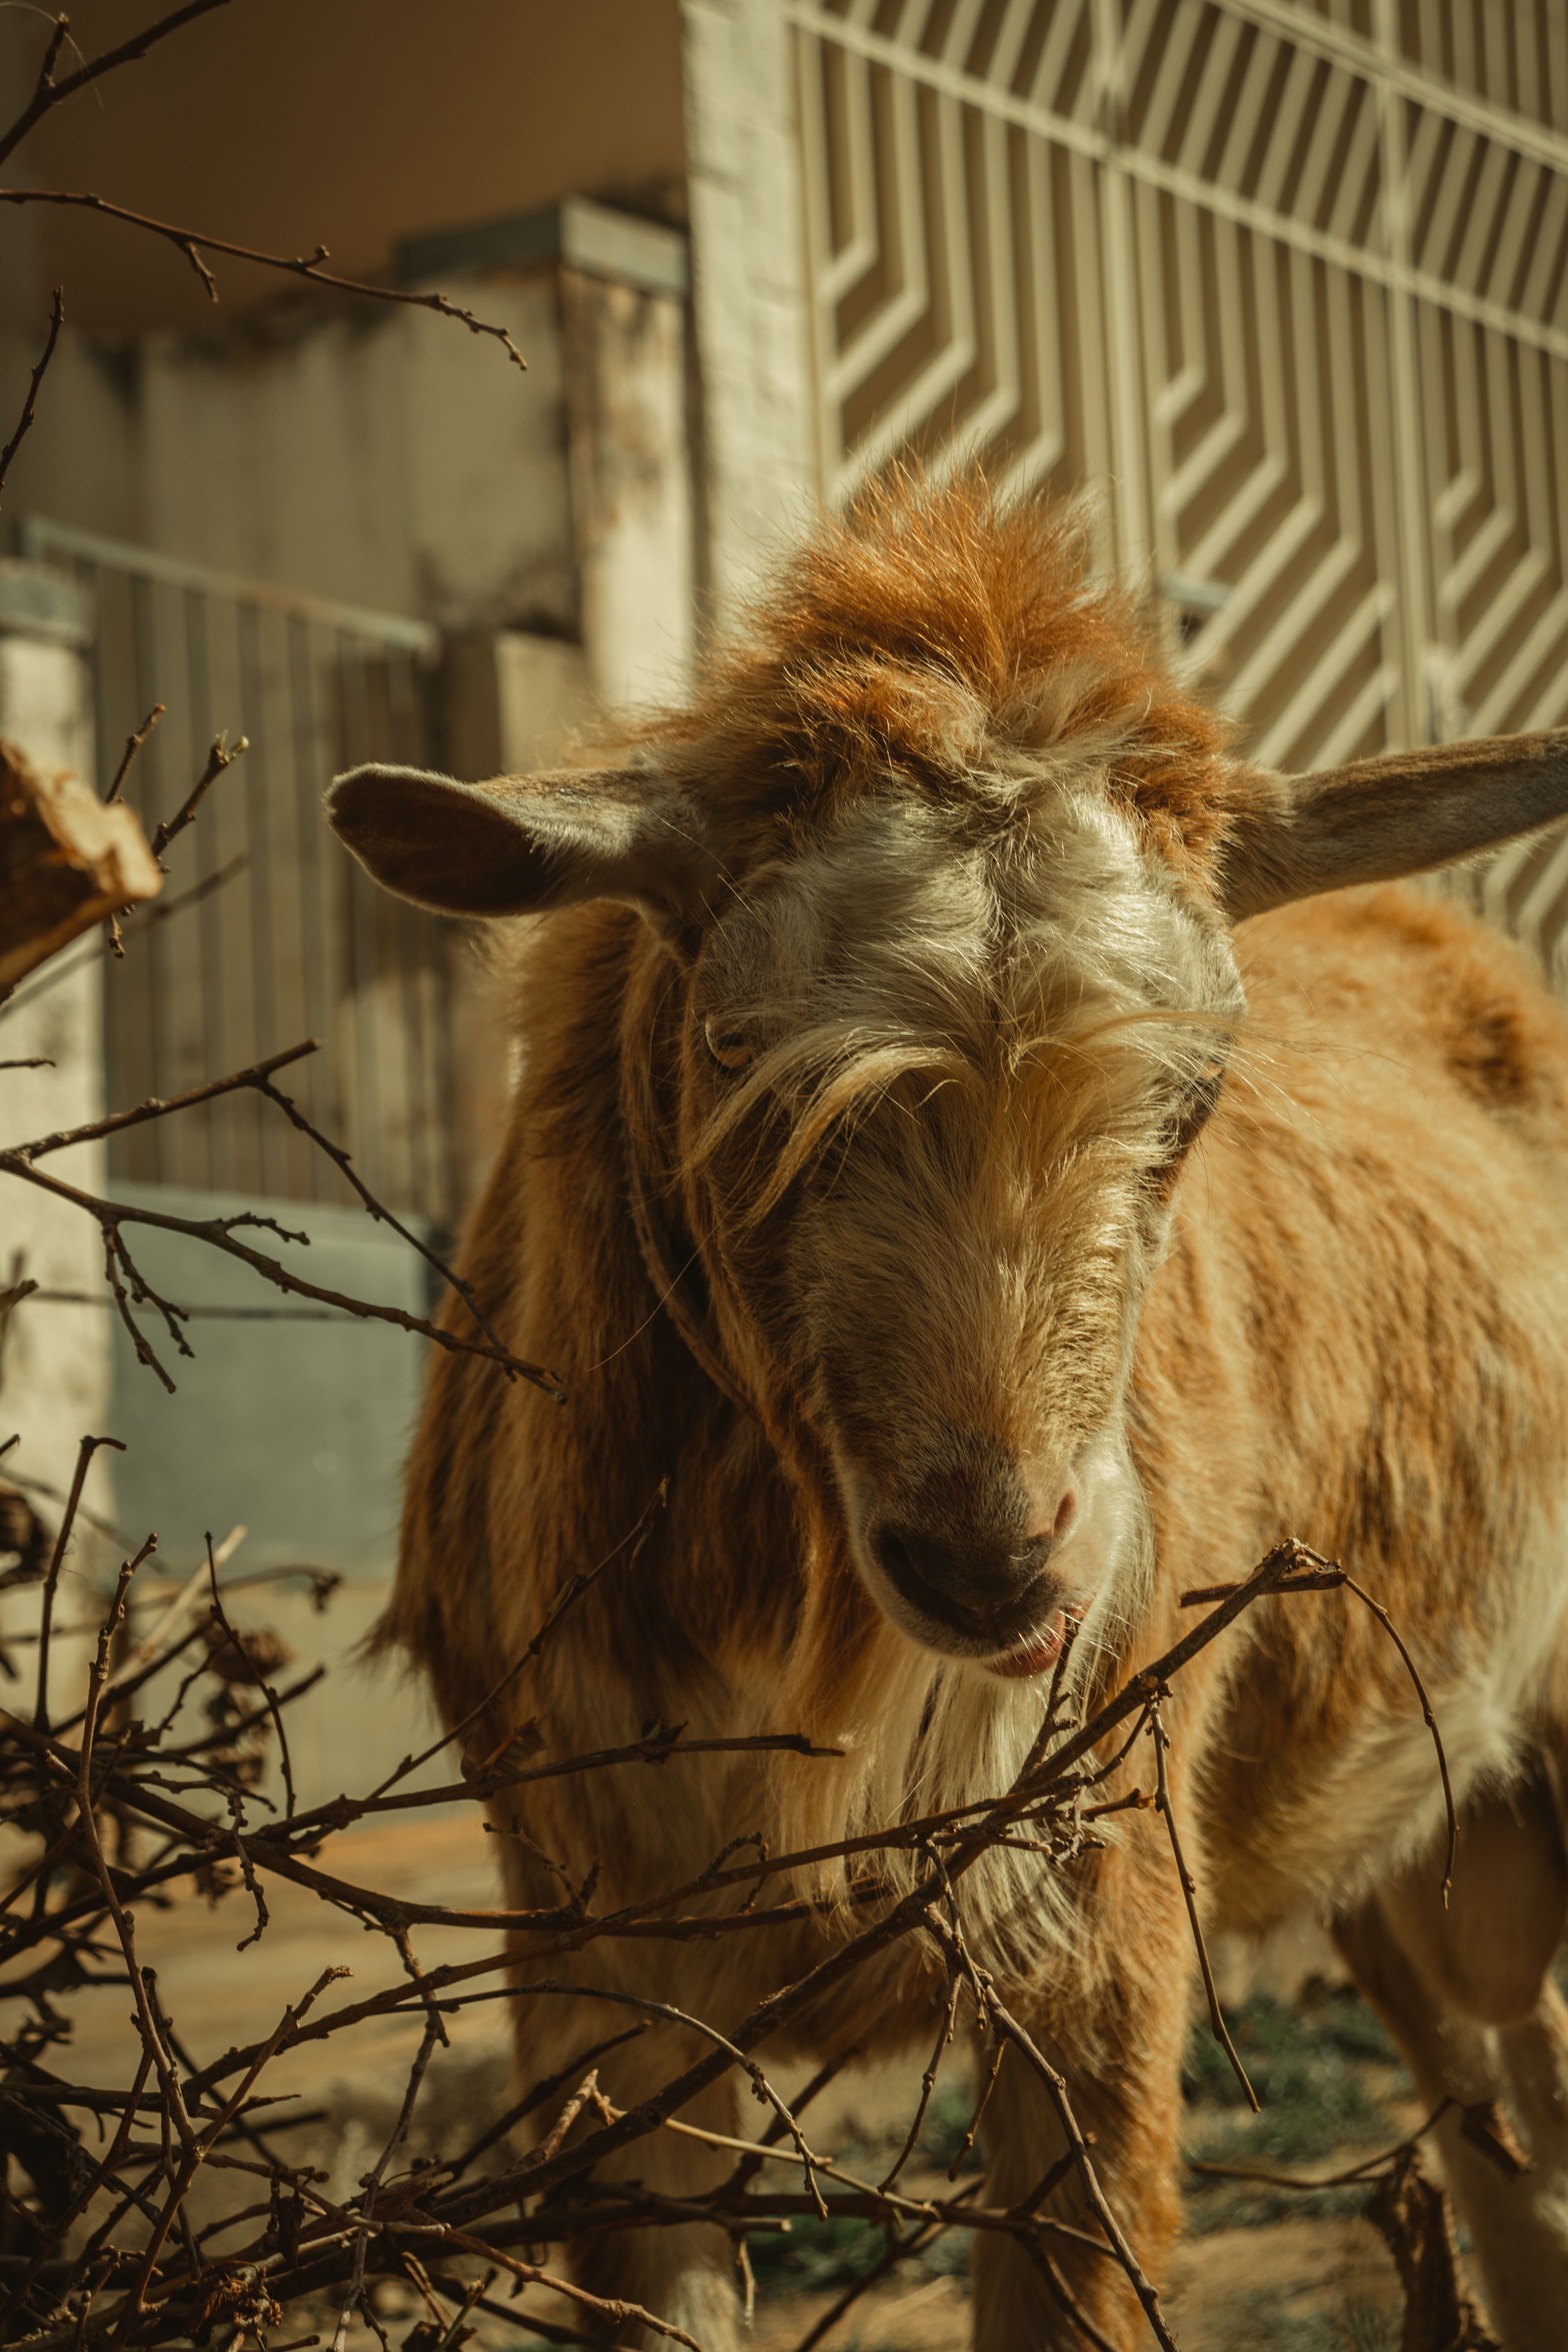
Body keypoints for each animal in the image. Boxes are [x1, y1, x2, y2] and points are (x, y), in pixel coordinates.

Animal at [328, 475, 1568, 2349]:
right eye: (730, 1044)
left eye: (1197, 1084)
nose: (991, 1558)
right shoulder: (594, 1963)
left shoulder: (1099, 1907)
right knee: (1492, 2109)